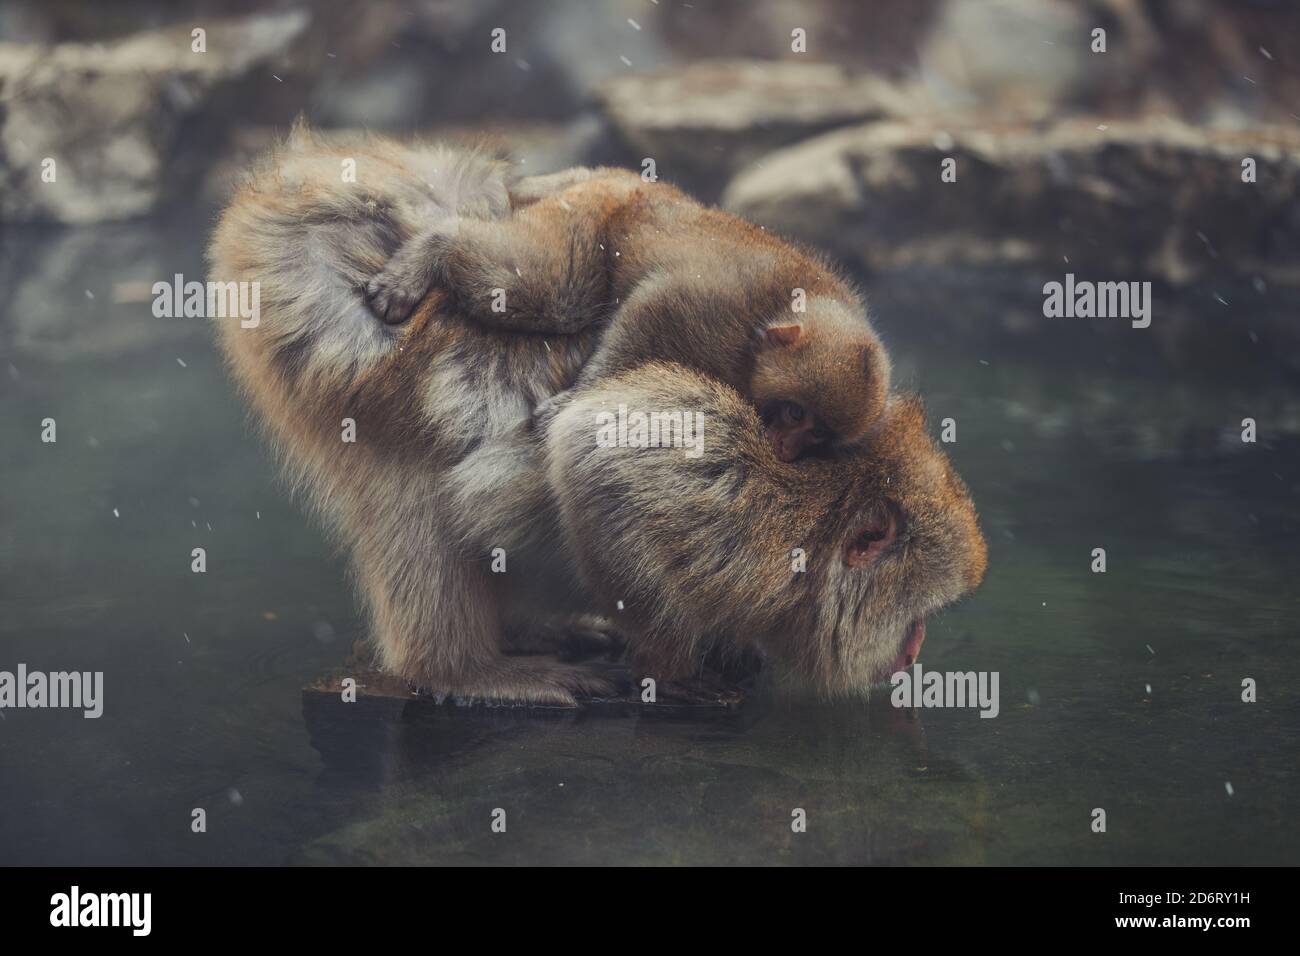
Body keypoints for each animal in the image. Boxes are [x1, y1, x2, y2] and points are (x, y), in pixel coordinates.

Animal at [362, 167, 892, 463]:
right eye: (795, 413)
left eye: (817, 433)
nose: (788, 450)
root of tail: (627, 180)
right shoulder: (716, 312)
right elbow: (649, 309)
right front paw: (579, 396)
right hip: (589, 215)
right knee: (553, 293)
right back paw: (433, 247)